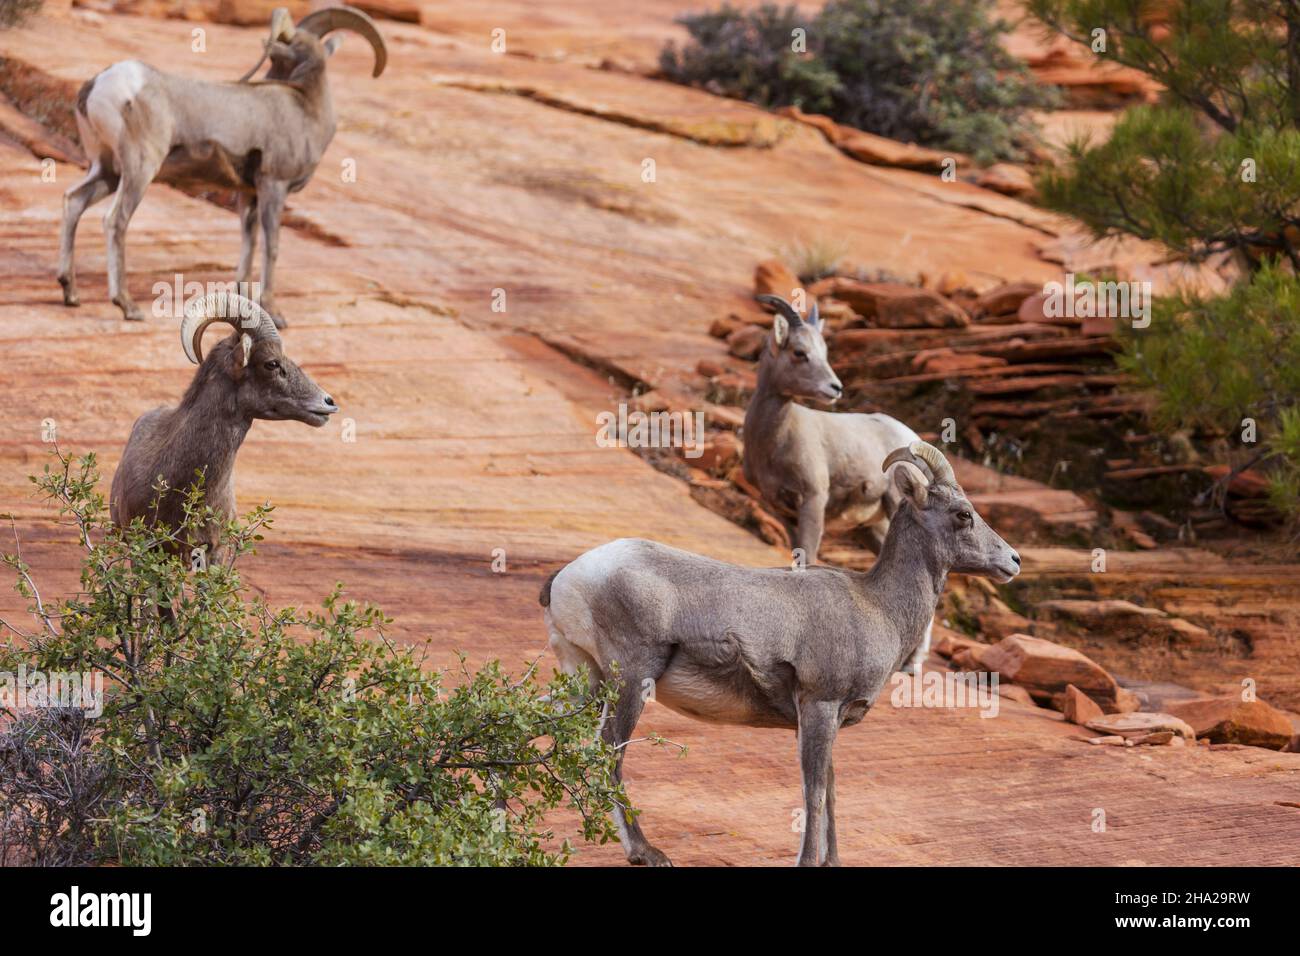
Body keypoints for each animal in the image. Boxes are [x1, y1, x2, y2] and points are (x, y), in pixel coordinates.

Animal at [57, 6, 387, 327]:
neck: (308, 109)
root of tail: (99, 84)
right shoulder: (273, 186)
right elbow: (271, 246)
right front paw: (275, 313)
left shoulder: (248, 194)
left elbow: (249, 243)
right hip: (140, 170)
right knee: (115, 221)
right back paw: (127, 306)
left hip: (108, 171)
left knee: (74, 201)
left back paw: (70, 292)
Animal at [541, 441, 1020, 866]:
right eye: (963, 514)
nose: (1013, 561)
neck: (878, 607)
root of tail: (569, 576)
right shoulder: (819, 706)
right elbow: (814, 794)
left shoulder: (825, 720)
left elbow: (831, 793)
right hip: (631, 679)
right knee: (608, 753)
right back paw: (647, 853)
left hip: (584, 682)